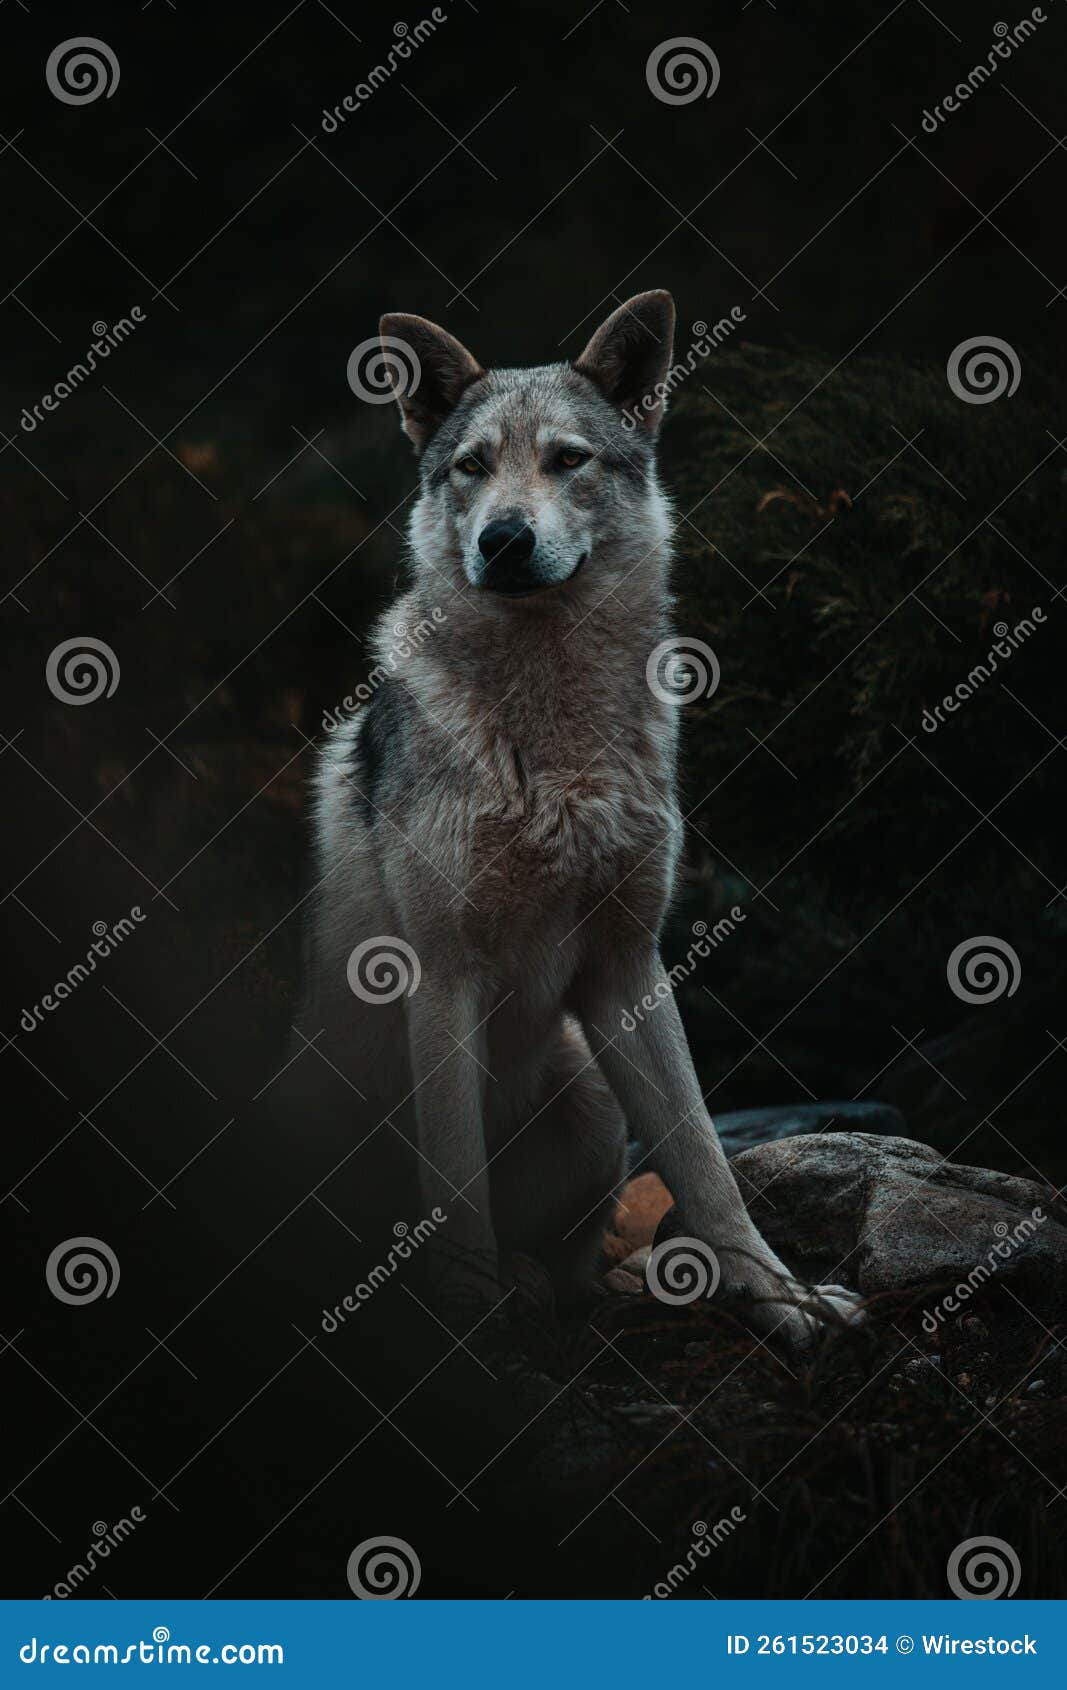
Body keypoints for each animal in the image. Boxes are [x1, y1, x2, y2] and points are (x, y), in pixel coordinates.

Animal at [304, 291, 861, 1345]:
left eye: (568, 459)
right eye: (472, 466)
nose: (503, 539)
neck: (552, 742)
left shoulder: (625, 966)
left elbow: (704, 1159)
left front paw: (779, 1295)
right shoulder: (441, 975)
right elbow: (455, 1185)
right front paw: (466, 1326)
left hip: (593, 1100)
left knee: (579, 1261)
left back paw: (561, 1285)